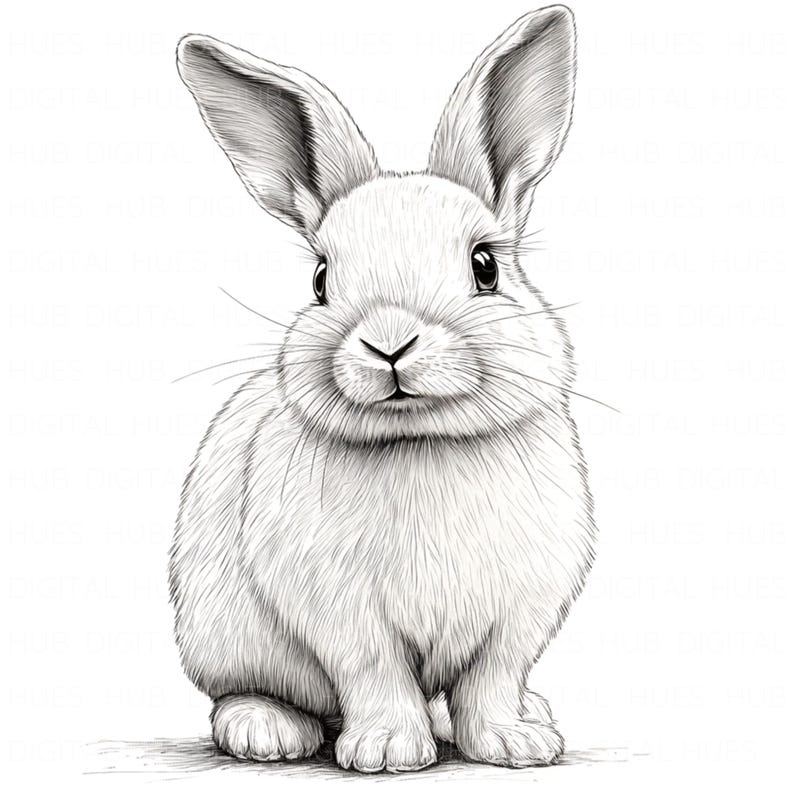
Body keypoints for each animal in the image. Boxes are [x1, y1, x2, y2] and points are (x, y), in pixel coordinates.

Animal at [170, 5, 596, 773]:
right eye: (320, 279)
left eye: (486, 266)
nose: (390, 341)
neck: (423, 441)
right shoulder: (341, 612)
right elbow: (375, 672)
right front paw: (389, 751)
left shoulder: (521, 610)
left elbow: (492, 679)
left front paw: (512, 743)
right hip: (223, 640)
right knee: (243, 691)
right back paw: (266, 730)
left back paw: (531, 712)